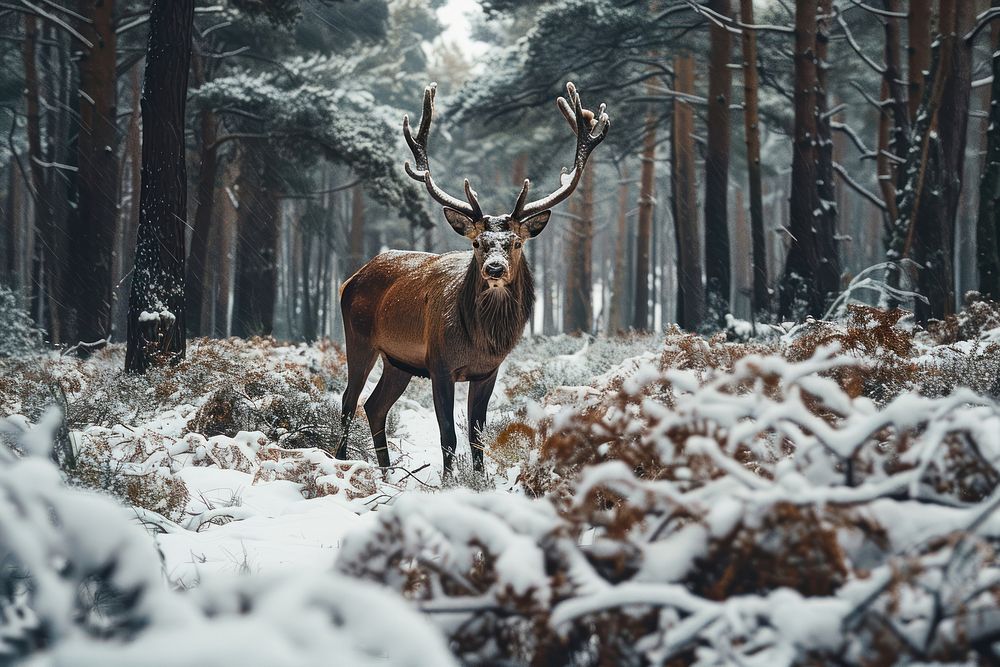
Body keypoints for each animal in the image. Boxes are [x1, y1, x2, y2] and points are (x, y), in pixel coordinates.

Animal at [336, 81, 610, 478]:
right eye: (478, 243)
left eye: (515, 242)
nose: (494, 268)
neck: (481, 340)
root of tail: (350, 279)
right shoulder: (439, 363)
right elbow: (448, 435)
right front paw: (449, 481)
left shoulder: (487, 371)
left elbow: (477, 436)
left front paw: (480, 479)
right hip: (358, 338)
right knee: (348, 399)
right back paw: (342, 460)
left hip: (398, 361)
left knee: (374, 405)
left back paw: (387, 473)